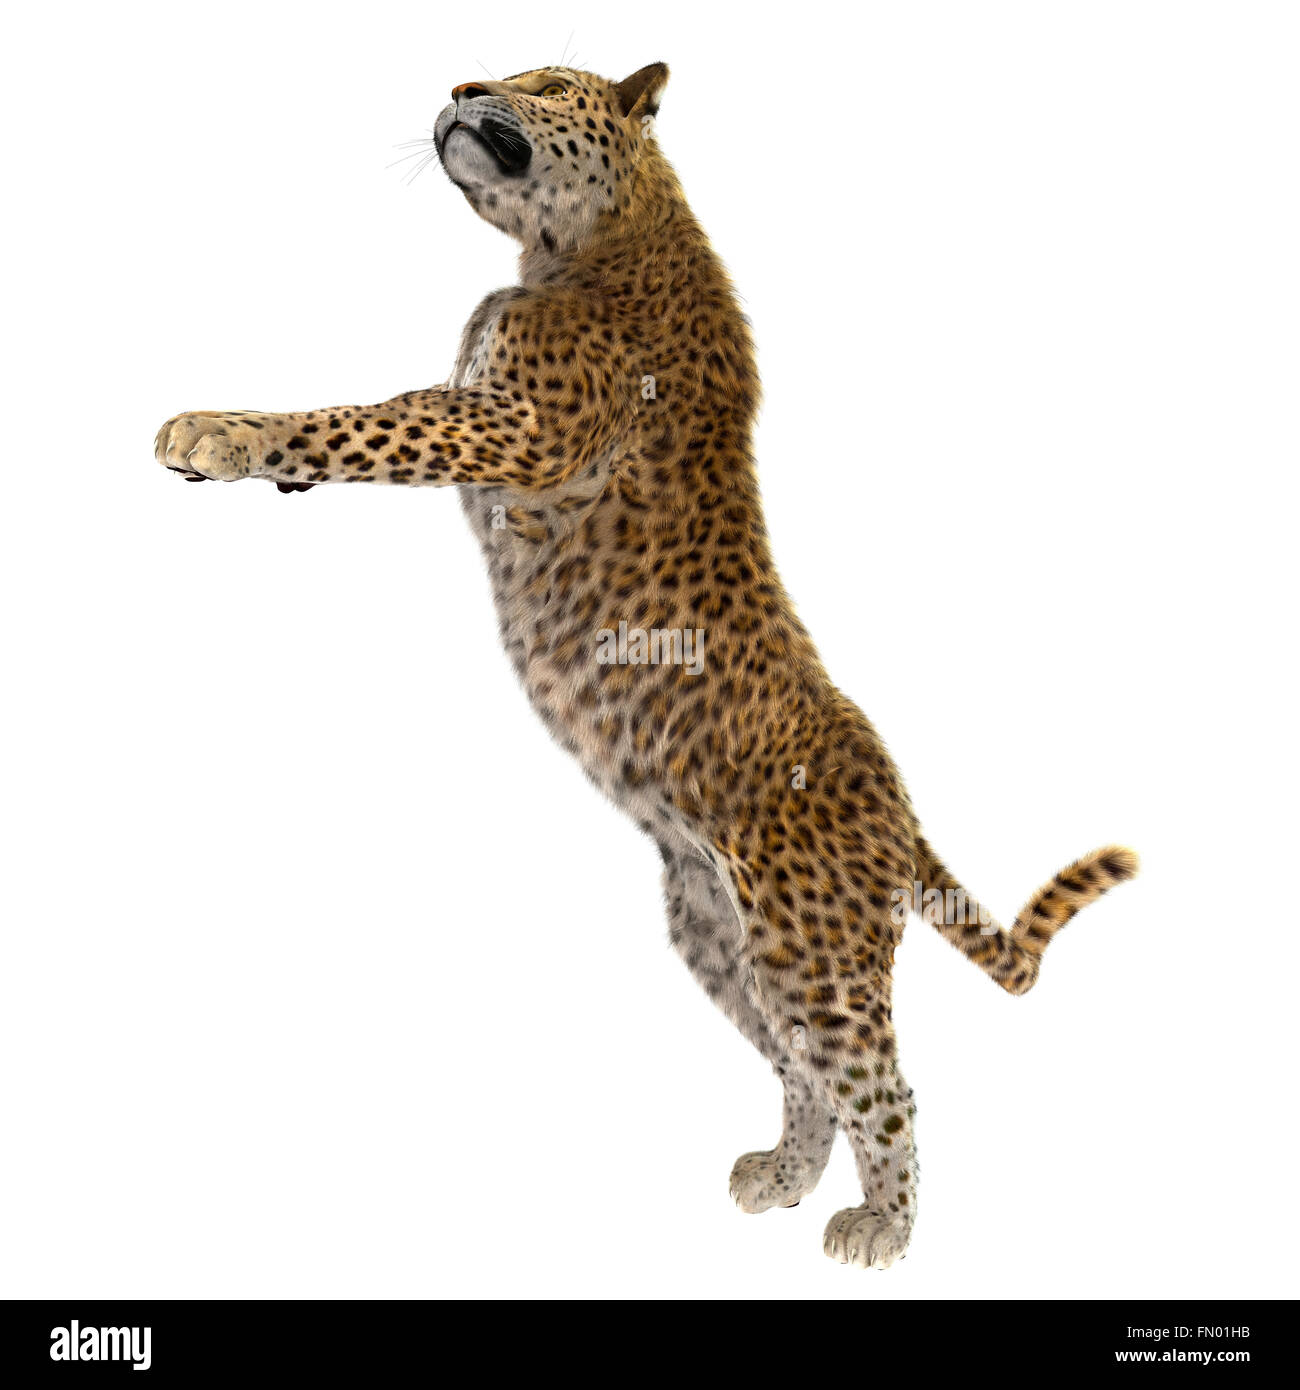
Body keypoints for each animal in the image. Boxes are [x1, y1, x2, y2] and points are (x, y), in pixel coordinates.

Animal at [153, 61, 1138, 1269]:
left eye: (543, 82)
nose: (461, 85)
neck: (575, 243)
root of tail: (897, 809)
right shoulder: (482, 412)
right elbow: (374, 414)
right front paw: (248, 450)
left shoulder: (512, 431)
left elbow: (358, 423)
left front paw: (225, 435)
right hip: (721, 933)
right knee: (802, 1065)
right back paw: (785, 1176)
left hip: (814, 947)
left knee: (885, 1084)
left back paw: (882, 1229)